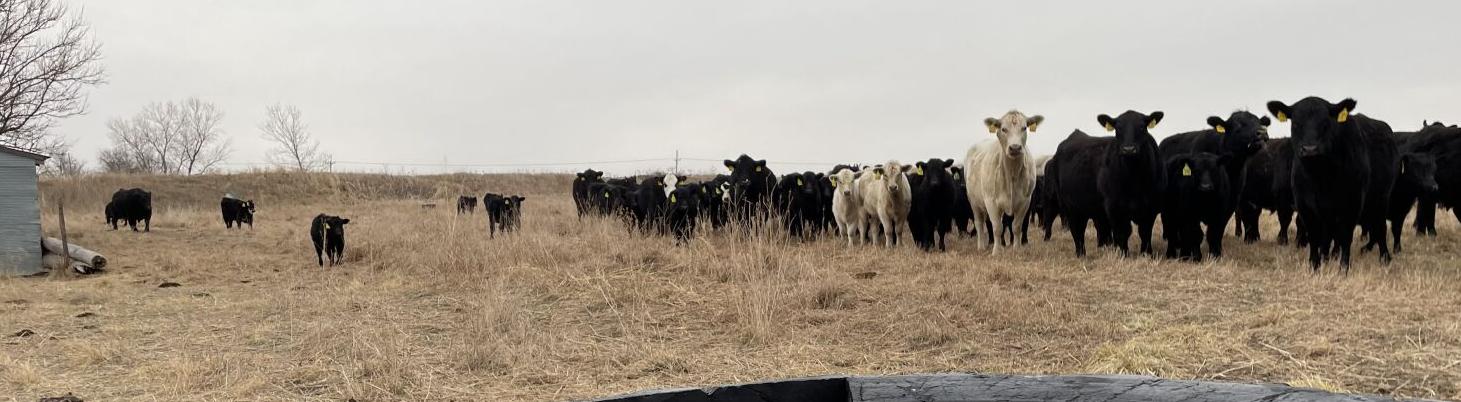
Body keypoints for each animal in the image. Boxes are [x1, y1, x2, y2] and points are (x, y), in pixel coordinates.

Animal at [964, 110, 1045, 253]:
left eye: (1024, 128)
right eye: (1003, 129)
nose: (1015, 147)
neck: (1011, 174)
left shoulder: (1025, 201)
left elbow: (1017, 226)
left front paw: (1016, 249)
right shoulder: (990, 201)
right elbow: (997, 227)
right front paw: (996, 251)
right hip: (974, 201)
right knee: (979, 223)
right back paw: (981, 246)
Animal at [1050, 111, 1165, 257]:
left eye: (1142, 127)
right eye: (1118, 128)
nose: (1129, 149)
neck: (1134, 180)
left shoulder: (1151, 207)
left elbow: (1145, 232)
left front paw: (1147, 254)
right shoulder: (1114, 207)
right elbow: (1123, 232)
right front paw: (1123, 255)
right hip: (1069, 206)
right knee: (1077, 231)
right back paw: (1081, 254)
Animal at [1267, 97, 1399, 272]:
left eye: (1326, 123)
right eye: (1295, 123)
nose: (1310, 149)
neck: (1320, 178)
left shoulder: (1352, 203)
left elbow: (1345, 236)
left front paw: (1343, 268)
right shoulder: (1305, 206)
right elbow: (1315, 236)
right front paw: (1315, 265)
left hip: (1381, 199)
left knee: (1379, 227)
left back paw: (1385, 257)